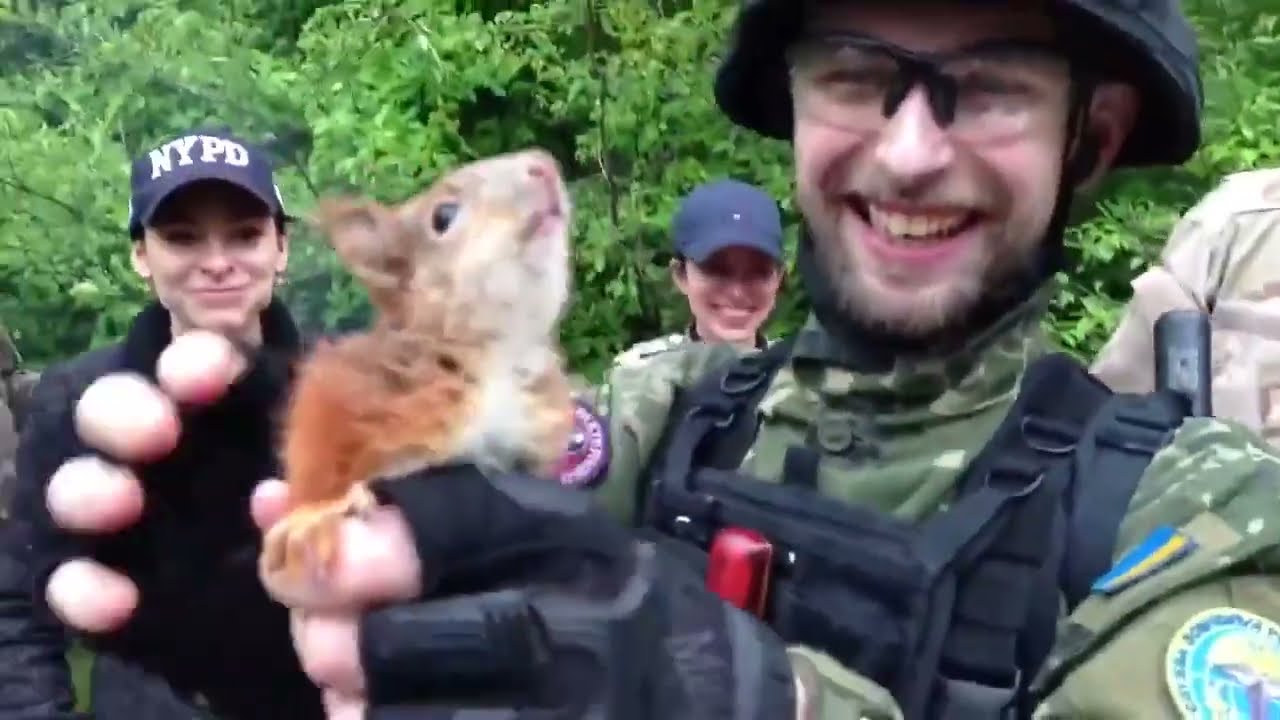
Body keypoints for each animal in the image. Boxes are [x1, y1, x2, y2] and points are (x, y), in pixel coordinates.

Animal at [259, 148, 577, 598]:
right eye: (443, 216)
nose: (544, 164)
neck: (496, 354)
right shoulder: (341, 399)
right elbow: (321, 469)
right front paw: (316, 518)